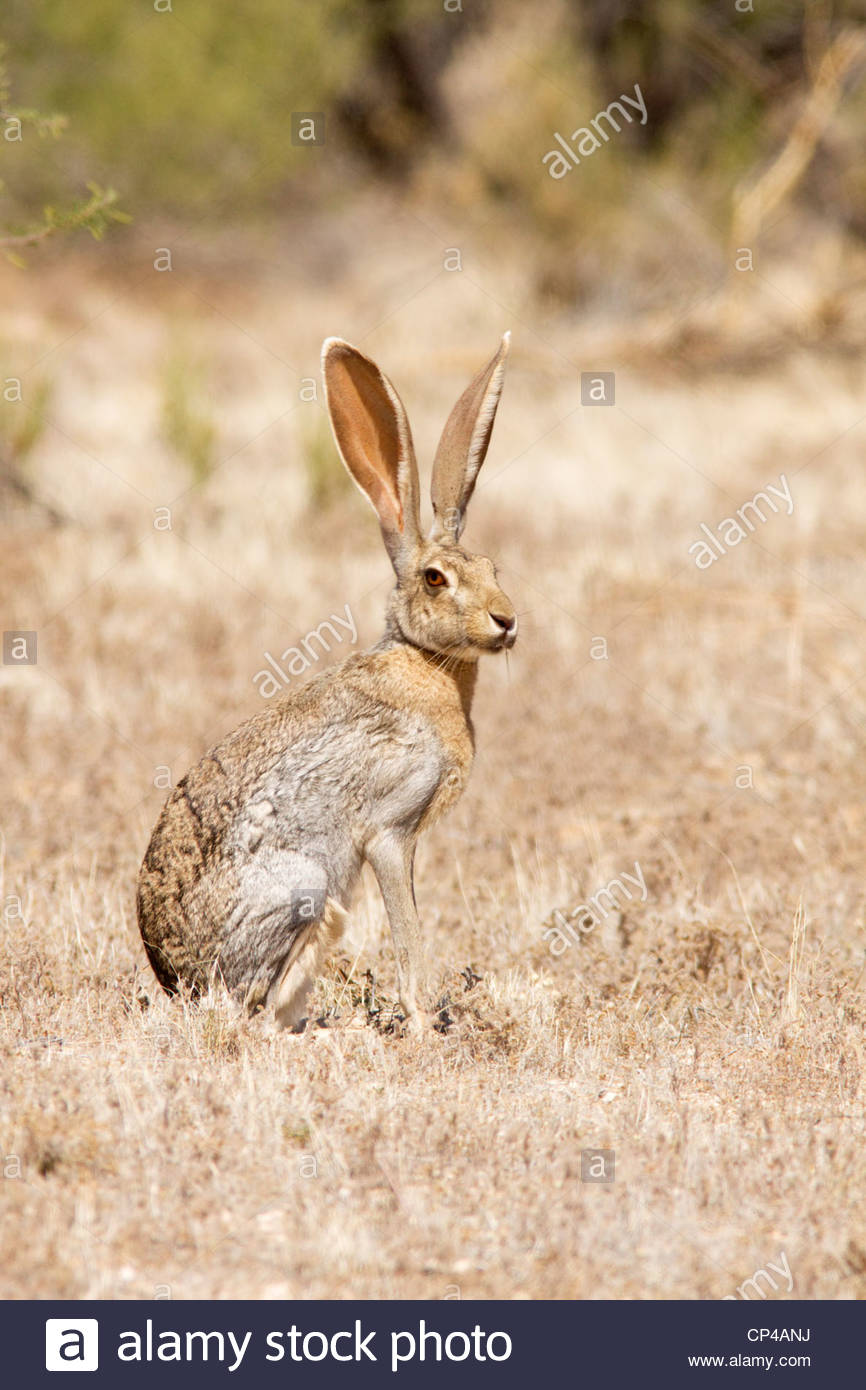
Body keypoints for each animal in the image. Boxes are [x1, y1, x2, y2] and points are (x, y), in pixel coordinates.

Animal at [137, 333, 517, 1032]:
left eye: (491, 567)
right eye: (435, 579)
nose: (507, 620)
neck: (424, 662)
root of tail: (179, 980)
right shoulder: (391, 831)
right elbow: (408, 932)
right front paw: (422, 1022)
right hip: (305, 892)